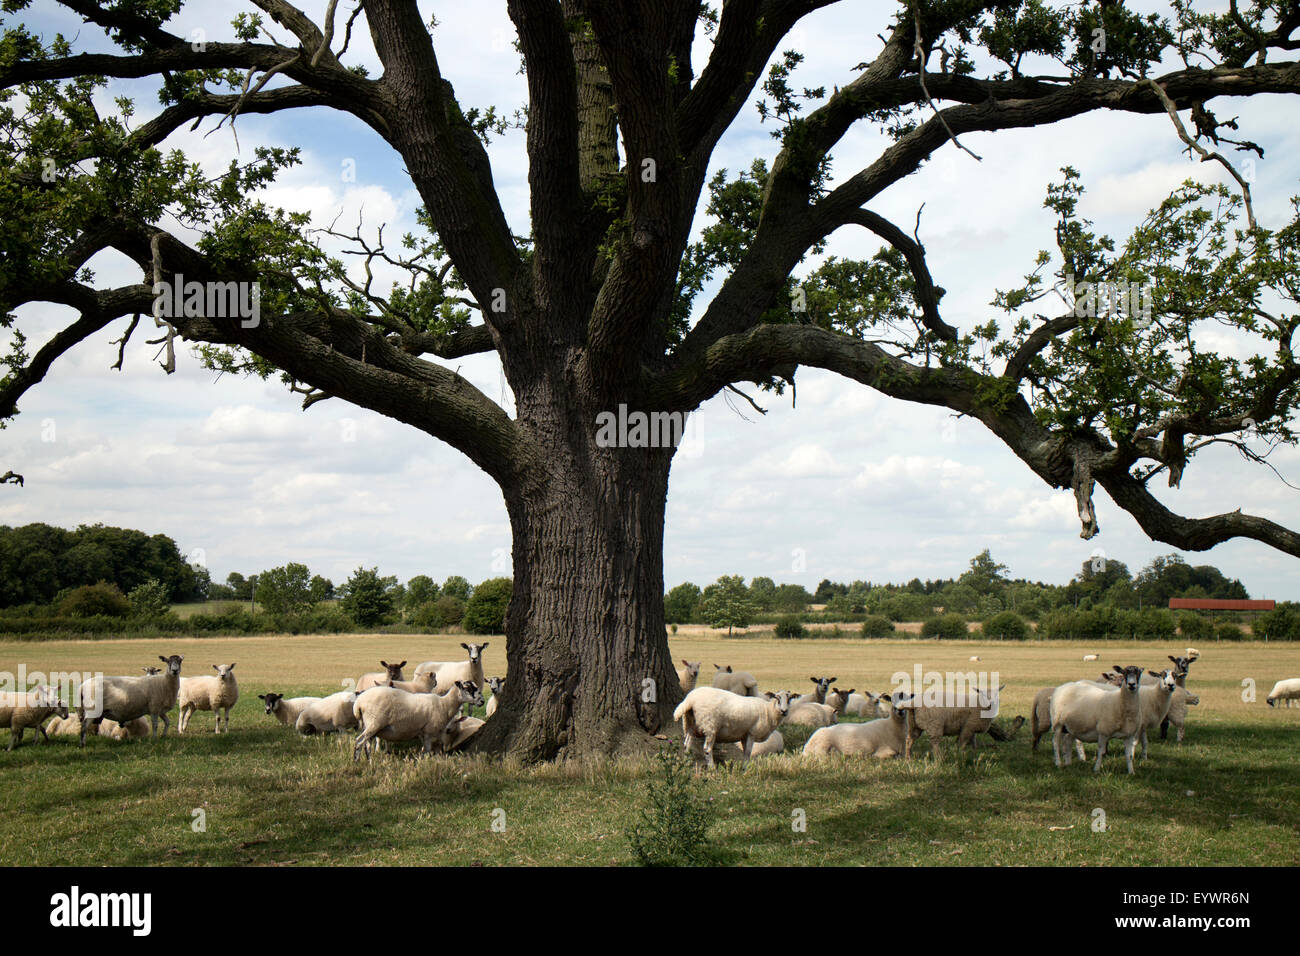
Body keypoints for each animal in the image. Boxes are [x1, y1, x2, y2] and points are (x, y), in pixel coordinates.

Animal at [352, 680, 484, 761]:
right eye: (468, 688)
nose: (482, 701)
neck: (445, 705)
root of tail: (359, 702)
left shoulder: (424, 733)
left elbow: (432, 750)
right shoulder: (429, 732)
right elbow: (427, 751)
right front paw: (426, 763)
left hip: (368, 724)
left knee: (367, 745)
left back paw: (369, 762)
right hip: (374, 723)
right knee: (359, 741)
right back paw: (356, 761)